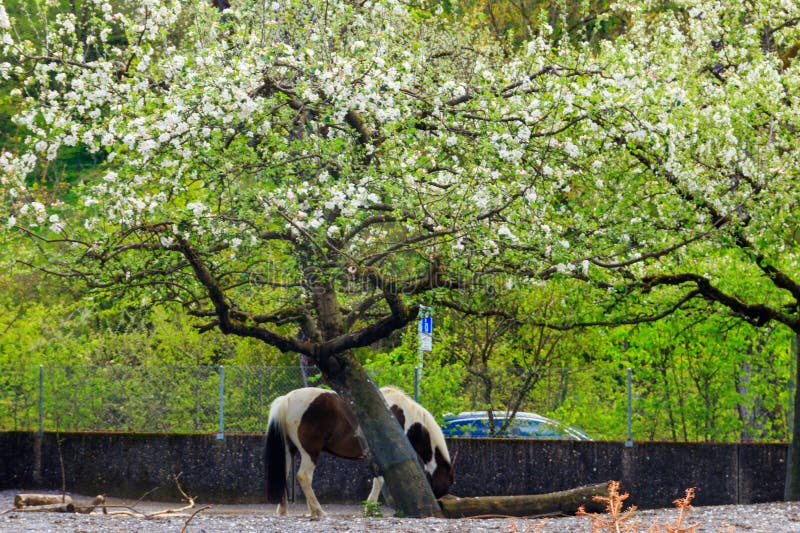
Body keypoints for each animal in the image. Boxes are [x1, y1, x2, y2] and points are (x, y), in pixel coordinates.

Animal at [265, 386, 454, 517]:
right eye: (450, 480)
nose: (440, 503)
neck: (401, 417)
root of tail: (287, 399)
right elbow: (380, 480)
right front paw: (370, 509)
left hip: (289, 450)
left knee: (283, 473)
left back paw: (283, 510)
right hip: (309, 452)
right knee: (304, 477)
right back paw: (318, 511)